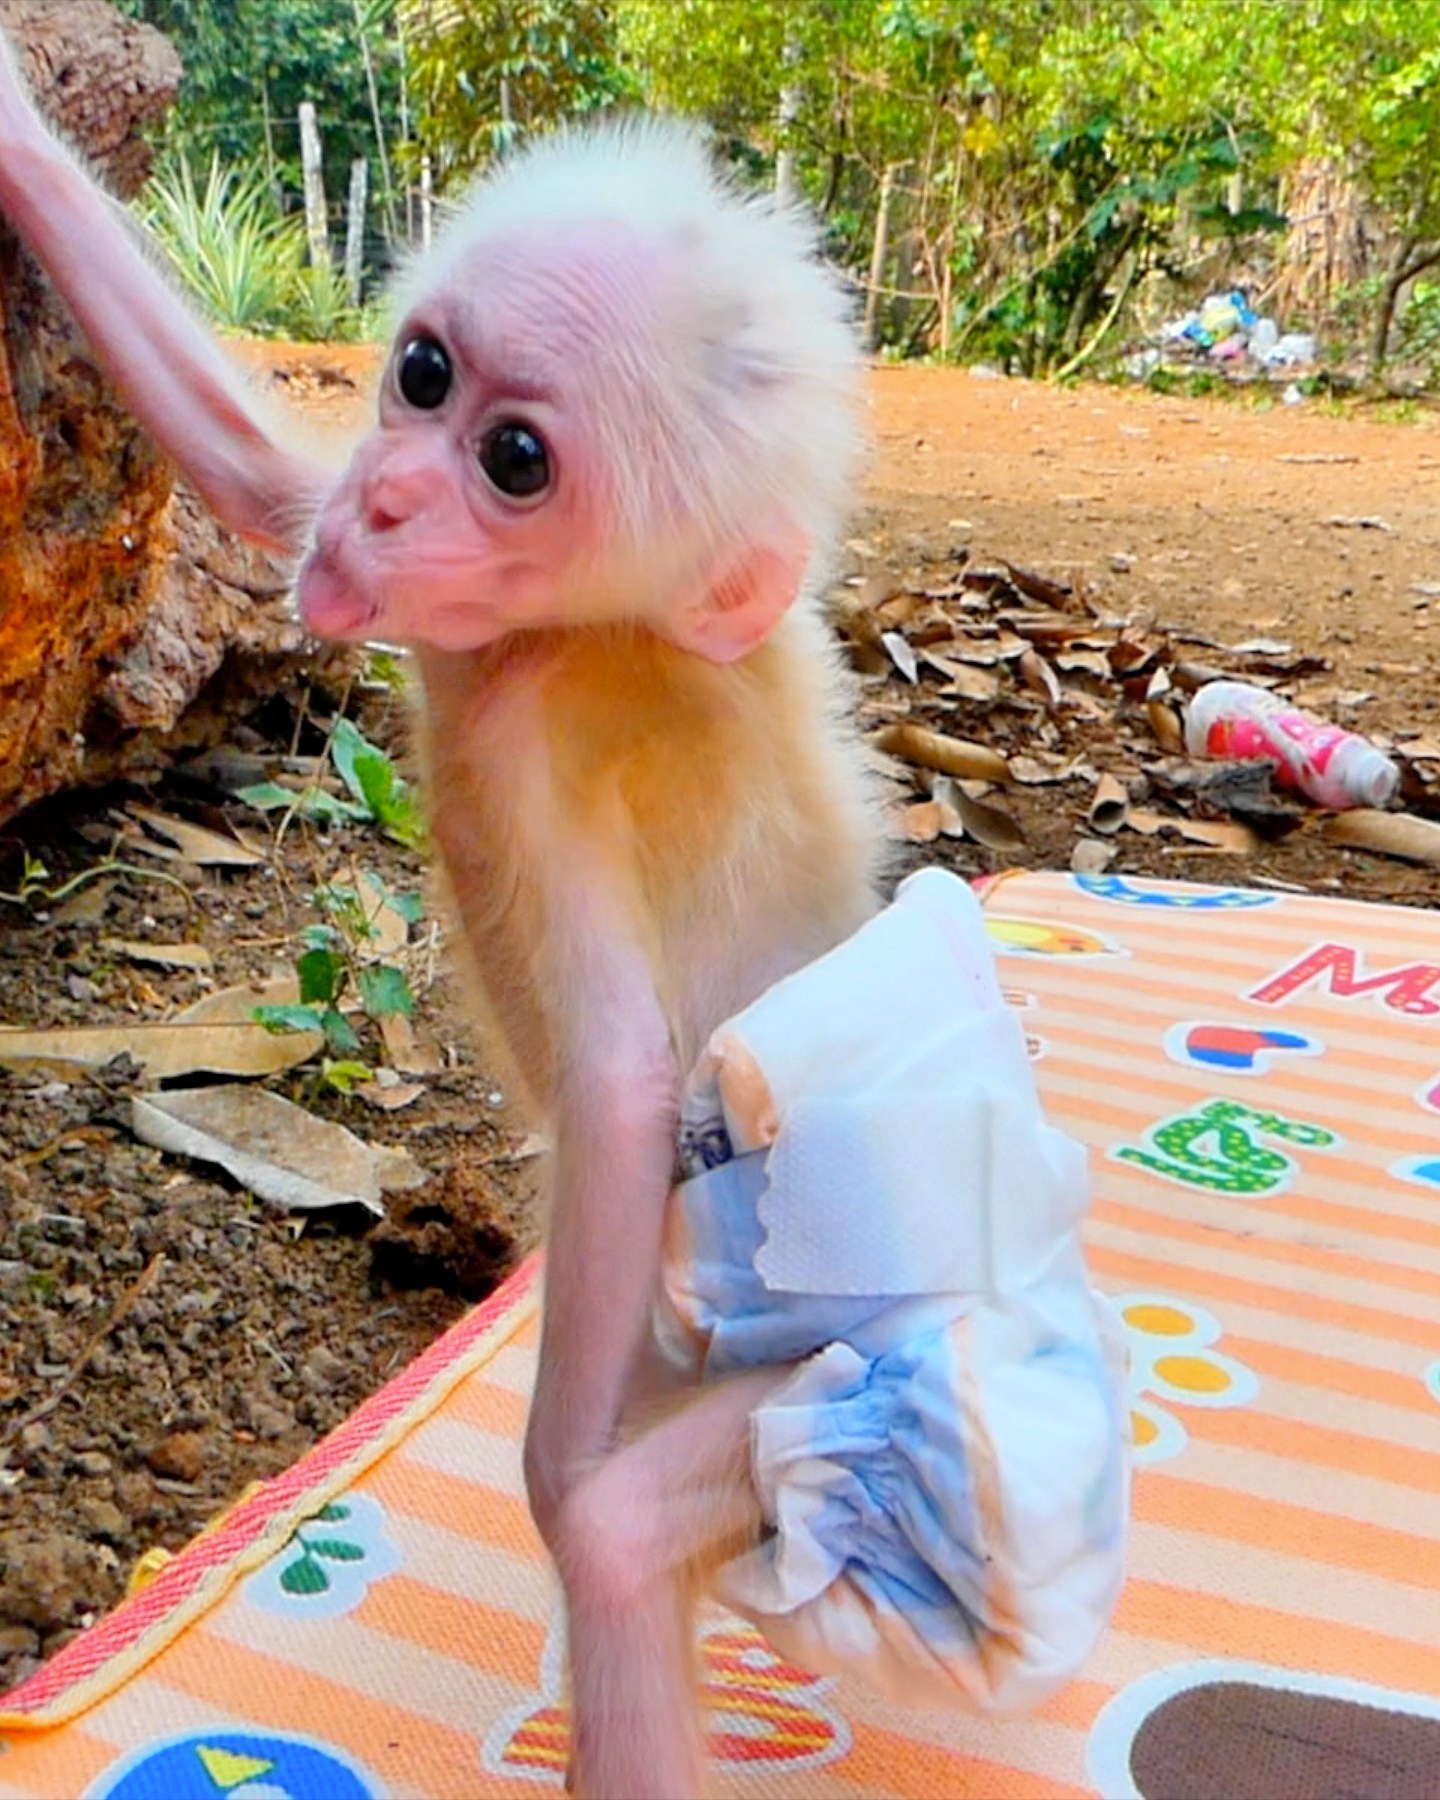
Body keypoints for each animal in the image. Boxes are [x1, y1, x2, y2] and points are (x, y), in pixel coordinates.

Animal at [0, 44, 1129, 1800]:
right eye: (421, 373)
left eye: (515, 463)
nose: (392, 500)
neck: (569, 627)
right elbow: (247, 467)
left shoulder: (537, 726)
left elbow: (614, 1084)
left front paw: (551, 1478)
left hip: (880, 1392)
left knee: (643, 1530)